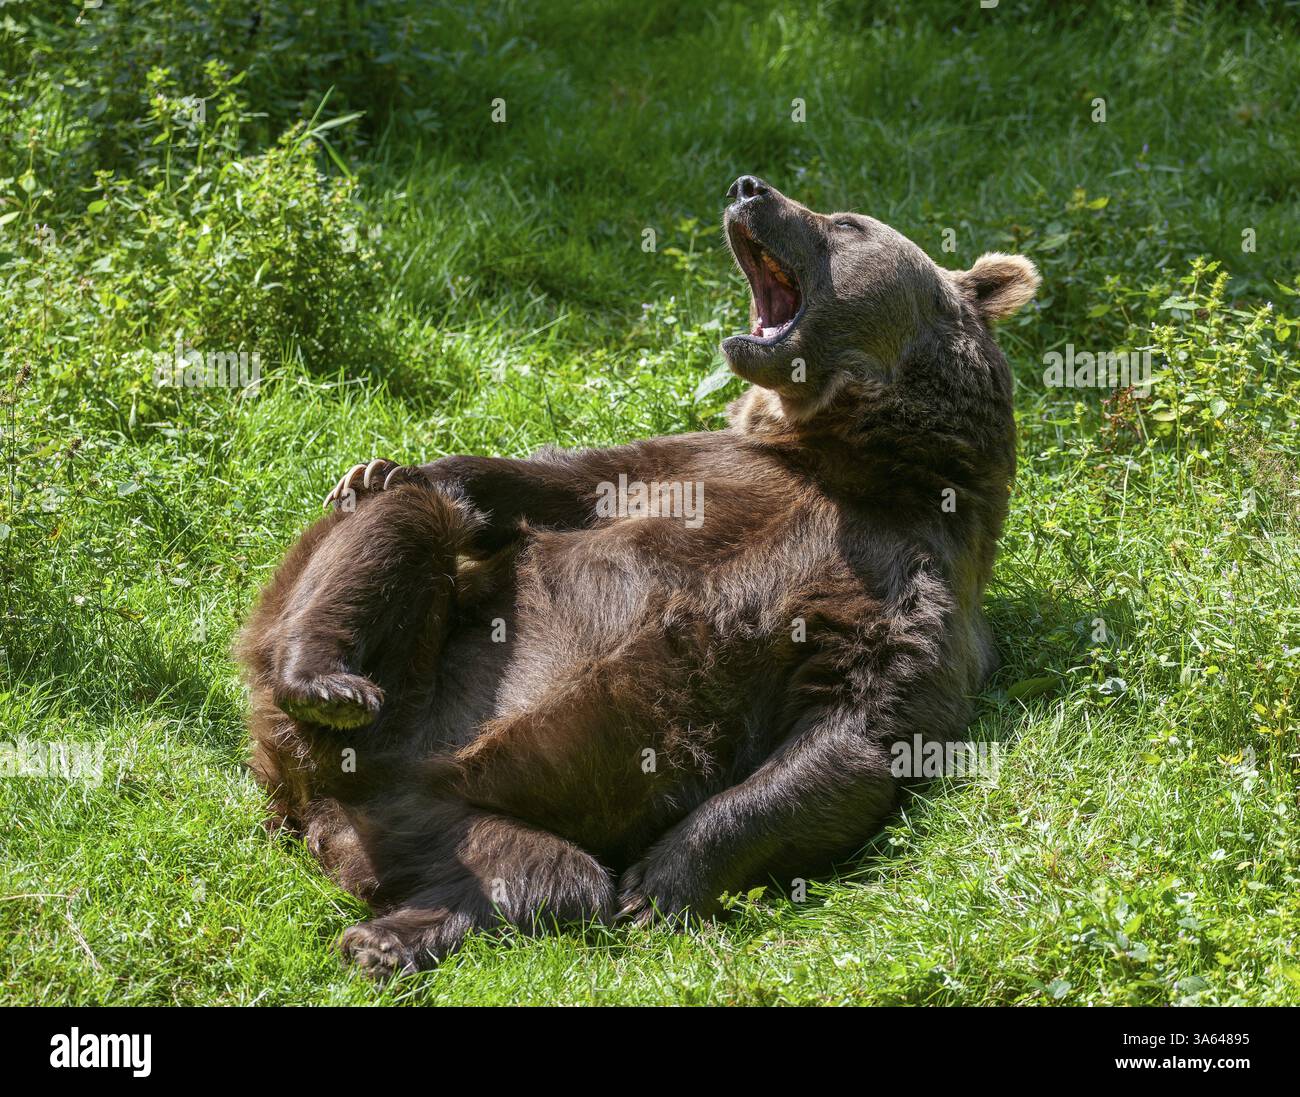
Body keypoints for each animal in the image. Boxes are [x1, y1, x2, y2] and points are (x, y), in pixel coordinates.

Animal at [237, 174, 1039, 978]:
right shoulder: (691, 465)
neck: (855, 461)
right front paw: (388, 465)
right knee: (401, 526)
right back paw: (327, 677)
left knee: (547, 881)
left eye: (845, 223)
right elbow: (550, 482)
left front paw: (660, 885)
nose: (748, 187)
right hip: (388, 674)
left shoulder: (911, 587)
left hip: (443, 819)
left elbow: (859, 730)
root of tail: (322, 793)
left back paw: (385, 939)